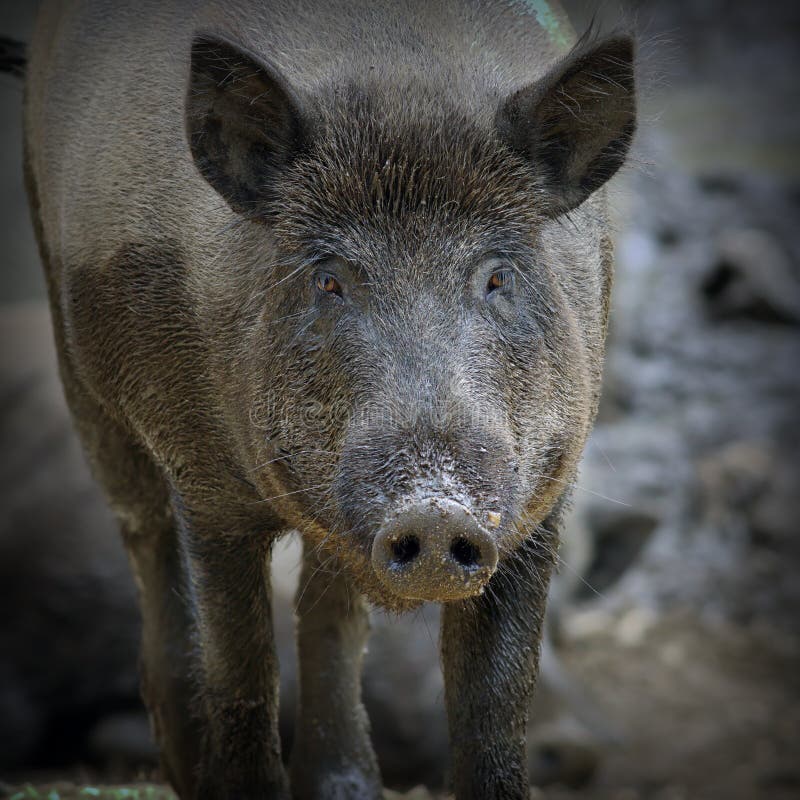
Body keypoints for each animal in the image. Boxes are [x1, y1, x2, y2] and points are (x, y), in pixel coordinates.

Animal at [21, 1, 635, 797]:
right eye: (330, 279)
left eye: (498, 276)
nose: (435, 510)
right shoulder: (205, 483)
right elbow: (241, 673)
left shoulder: (541, 501)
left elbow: (495, 702)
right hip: (75, 357)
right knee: (151, 550)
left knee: (330, 608)